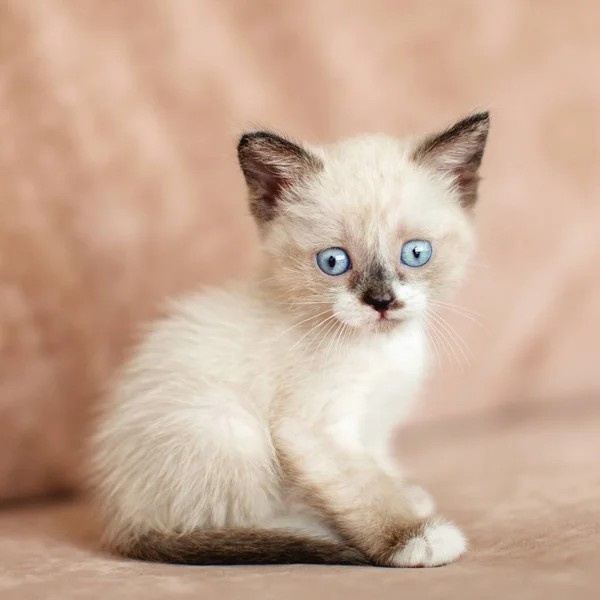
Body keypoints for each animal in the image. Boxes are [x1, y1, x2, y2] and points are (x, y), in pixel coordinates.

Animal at [91, 112, 490, 568]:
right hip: (230, 425)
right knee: (233, 524)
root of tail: (123, 521)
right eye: (333, 261)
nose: (381, 302)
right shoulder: (313, 429)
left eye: (416, 253)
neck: (379, 349)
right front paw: (412, 536)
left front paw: (407, 494)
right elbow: (363, 488)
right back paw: (315, 530)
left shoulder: (373, 423)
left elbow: (378, 466)